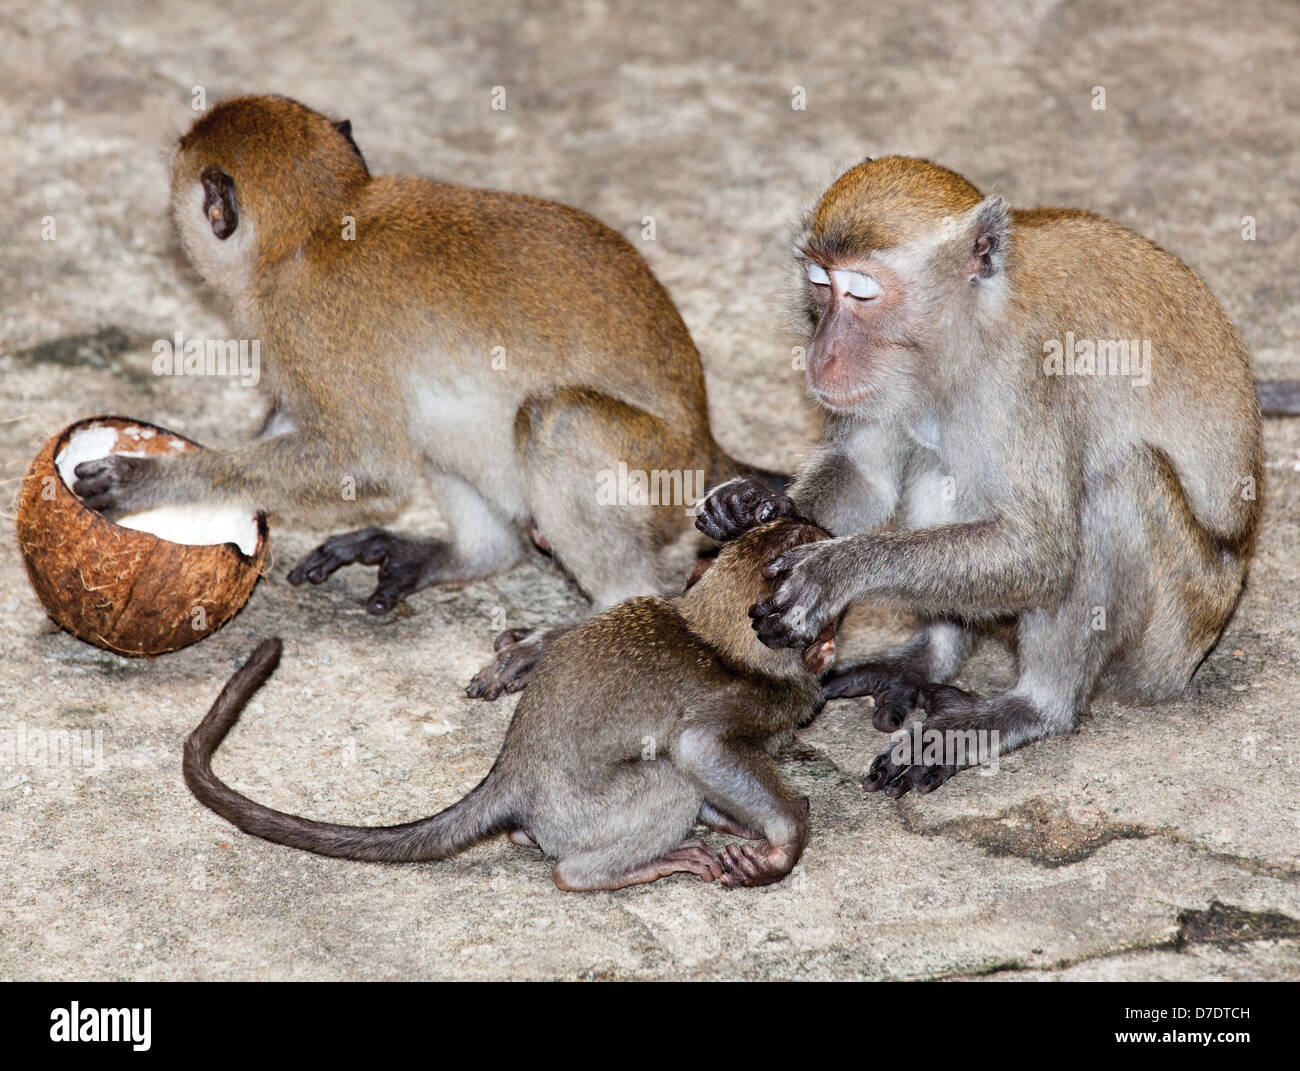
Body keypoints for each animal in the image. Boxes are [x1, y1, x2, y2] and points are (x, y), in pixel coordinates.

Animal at [70, 95, 781, 699]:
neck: (315, 227)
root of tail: (707, 444)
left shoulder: (303, 317)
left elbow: (368, 462)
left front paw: (150, 481)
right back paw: (475, 554)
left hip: (660, 475)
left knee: (554, 419)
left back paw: (600, 613)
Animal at [183, 519, 836, 891]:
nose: (827, 644)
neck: (710, 630)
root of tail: (512, 775)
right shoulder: (757, 697)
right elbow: (699, 746)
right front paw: (783, 844)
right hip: (585, 812)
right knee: (666, 781)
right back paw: (603, 871)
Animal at [695, 155, 1300, 798]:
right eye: (818, 283)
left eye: (861, 292)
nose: (822, 354)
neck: (967, 332)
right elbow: (867, 474)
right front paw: (758, 505)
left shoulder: (1025, 373)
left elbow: (1042, 550)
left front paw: (836, 570)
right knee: (936, 466)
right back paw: (929, 658)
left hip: (1170, 637)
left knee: (1112, 485)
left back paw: (1033, 708)